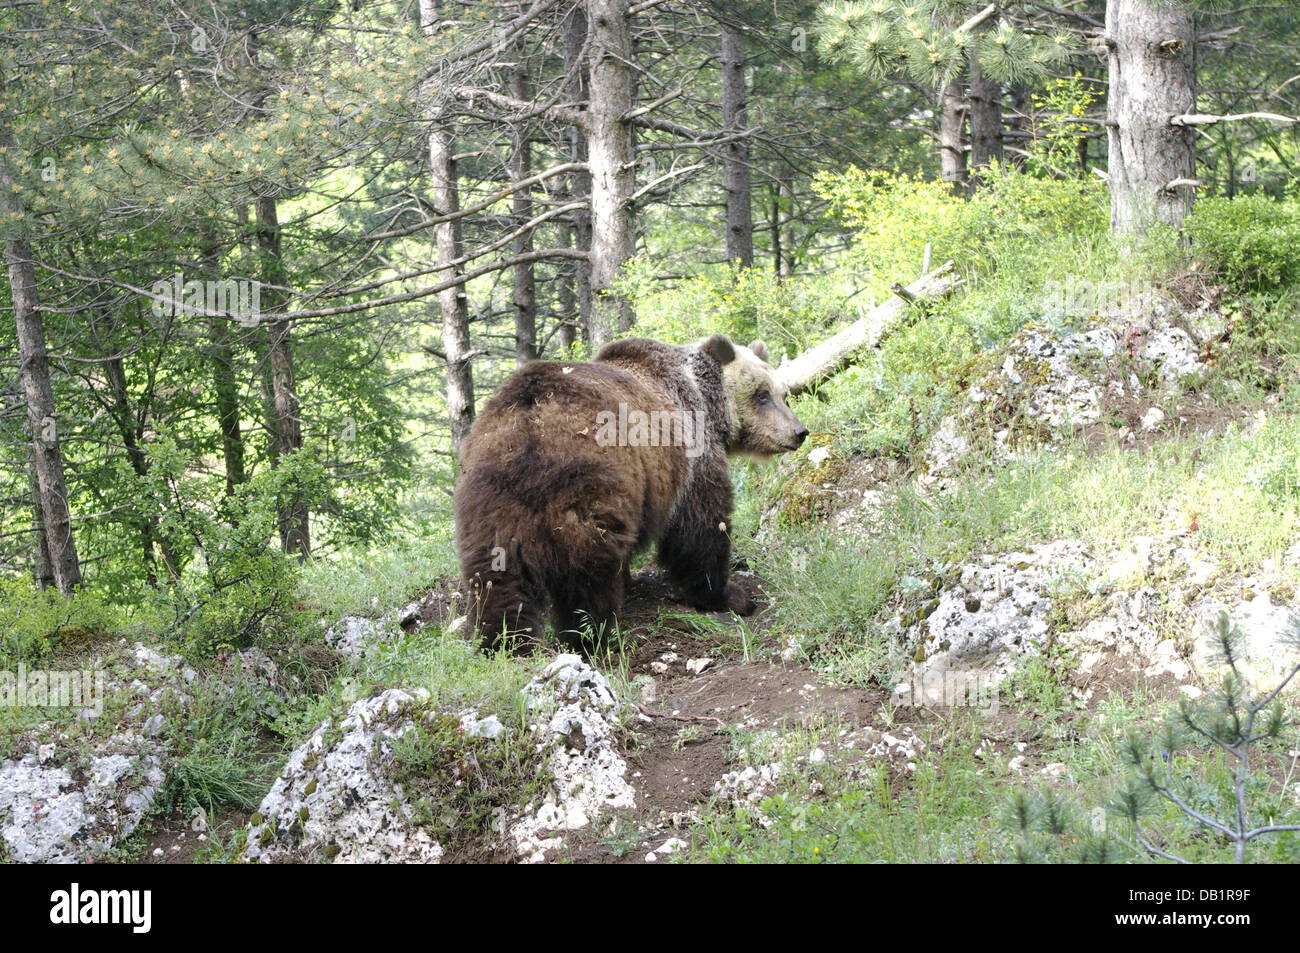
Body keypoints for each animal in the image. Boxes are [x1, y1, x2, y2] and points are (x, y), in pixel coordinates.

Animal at [454, 333, 808, 650]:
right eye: (761, 394)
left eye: (782, 394)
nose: (799, 431)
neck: (706, 402)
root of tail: (530, 423)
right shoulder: (692, 453)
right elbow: (700, 526)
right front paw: (729, 595)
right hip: (589, 476)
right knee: (586, 566)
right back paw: (591, 632)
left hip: (489, 493)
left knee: (494, 572)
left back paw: (503, 639)